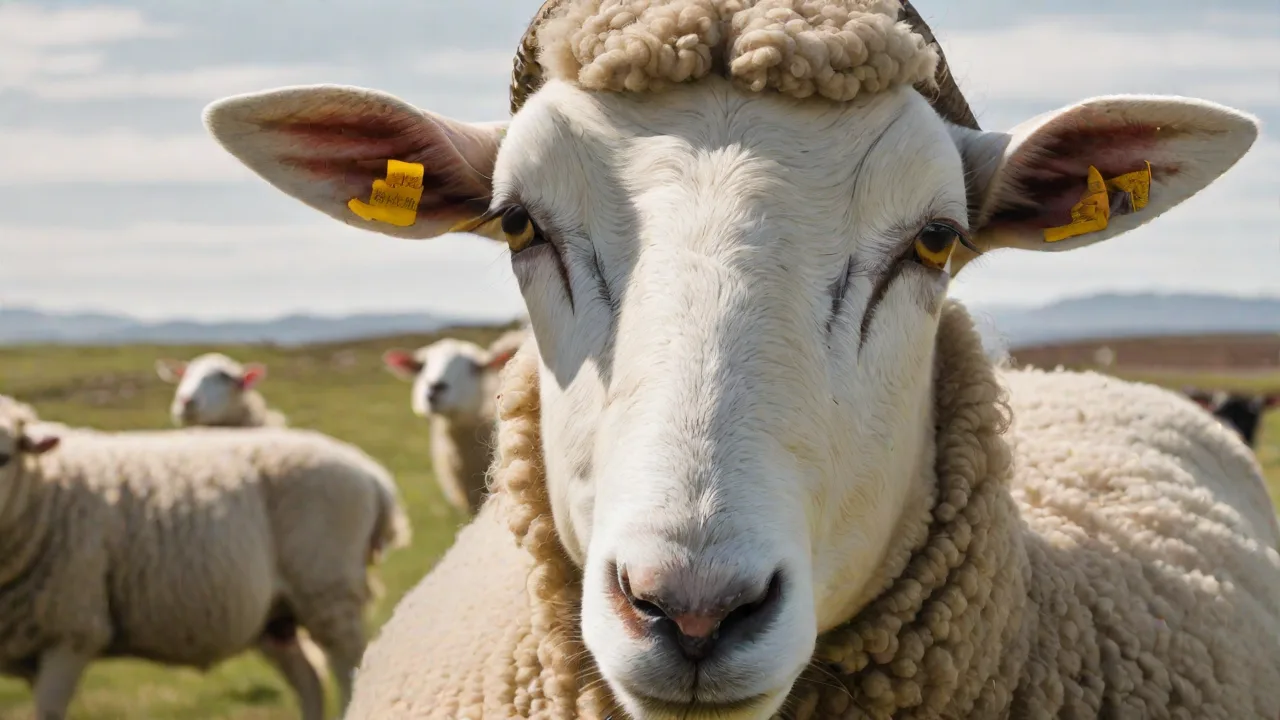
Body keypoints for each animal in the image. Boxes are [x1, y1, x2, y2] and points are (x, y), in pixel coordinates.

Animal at [0, 394, 411, 720]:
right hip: (274, 615)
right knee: (308, 679)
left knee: (350, 672)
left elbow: (48, 712)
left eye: (5, 457)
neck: (42, 486)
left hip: (329, 591)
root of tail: (369, 471)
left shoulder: (74, 631)